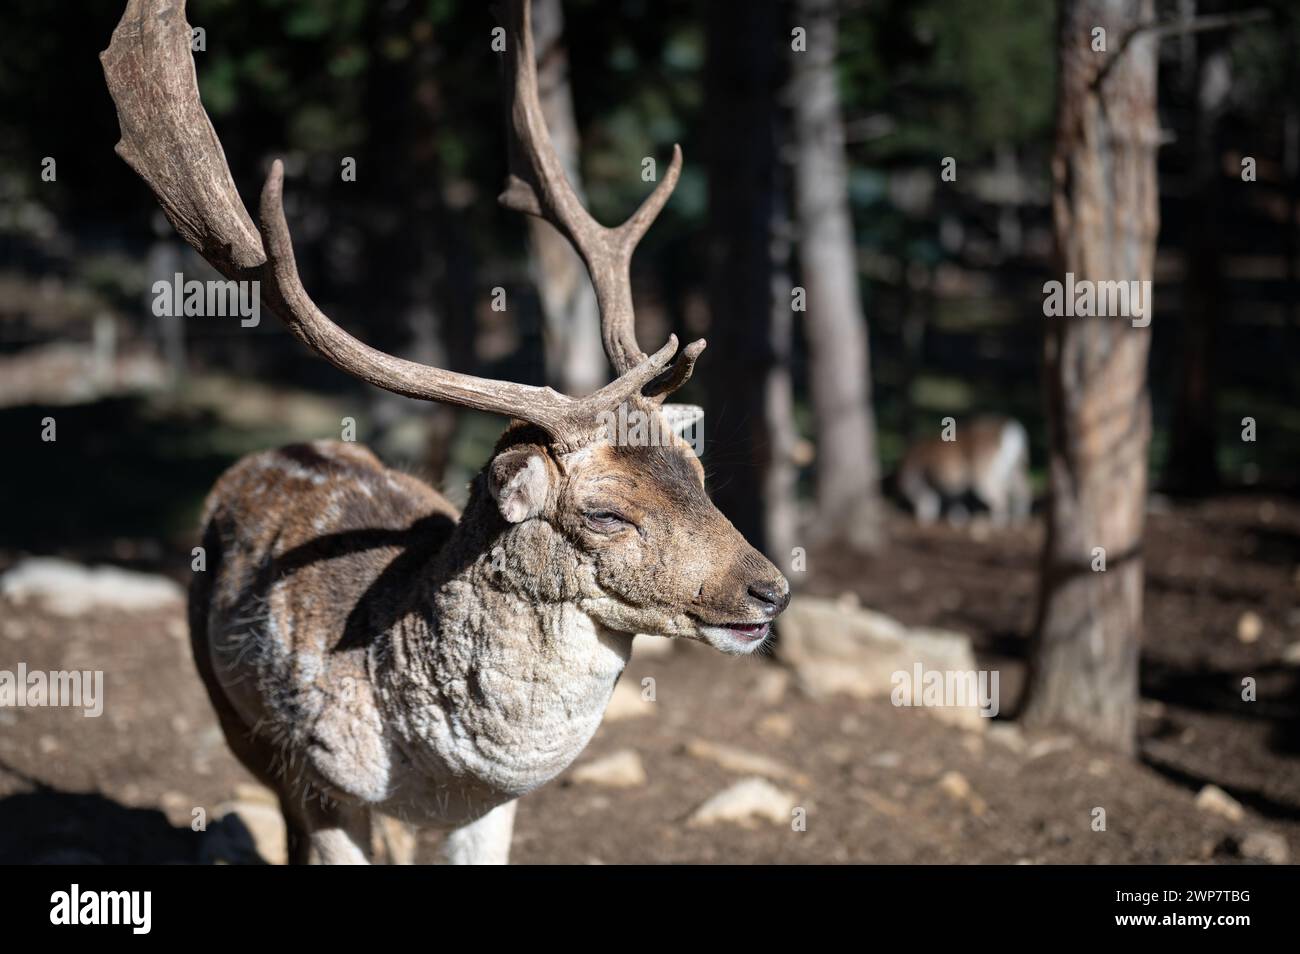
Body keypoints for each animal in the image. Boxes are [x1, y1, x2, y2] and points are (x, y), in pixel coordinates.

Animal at [101, 0, 790, 864]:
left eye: (697, 477)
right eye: (604, 513)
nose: (772, 588)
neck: (438, 769)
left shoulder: (495, 807)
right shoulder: (320, 774)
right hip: (233, 714)